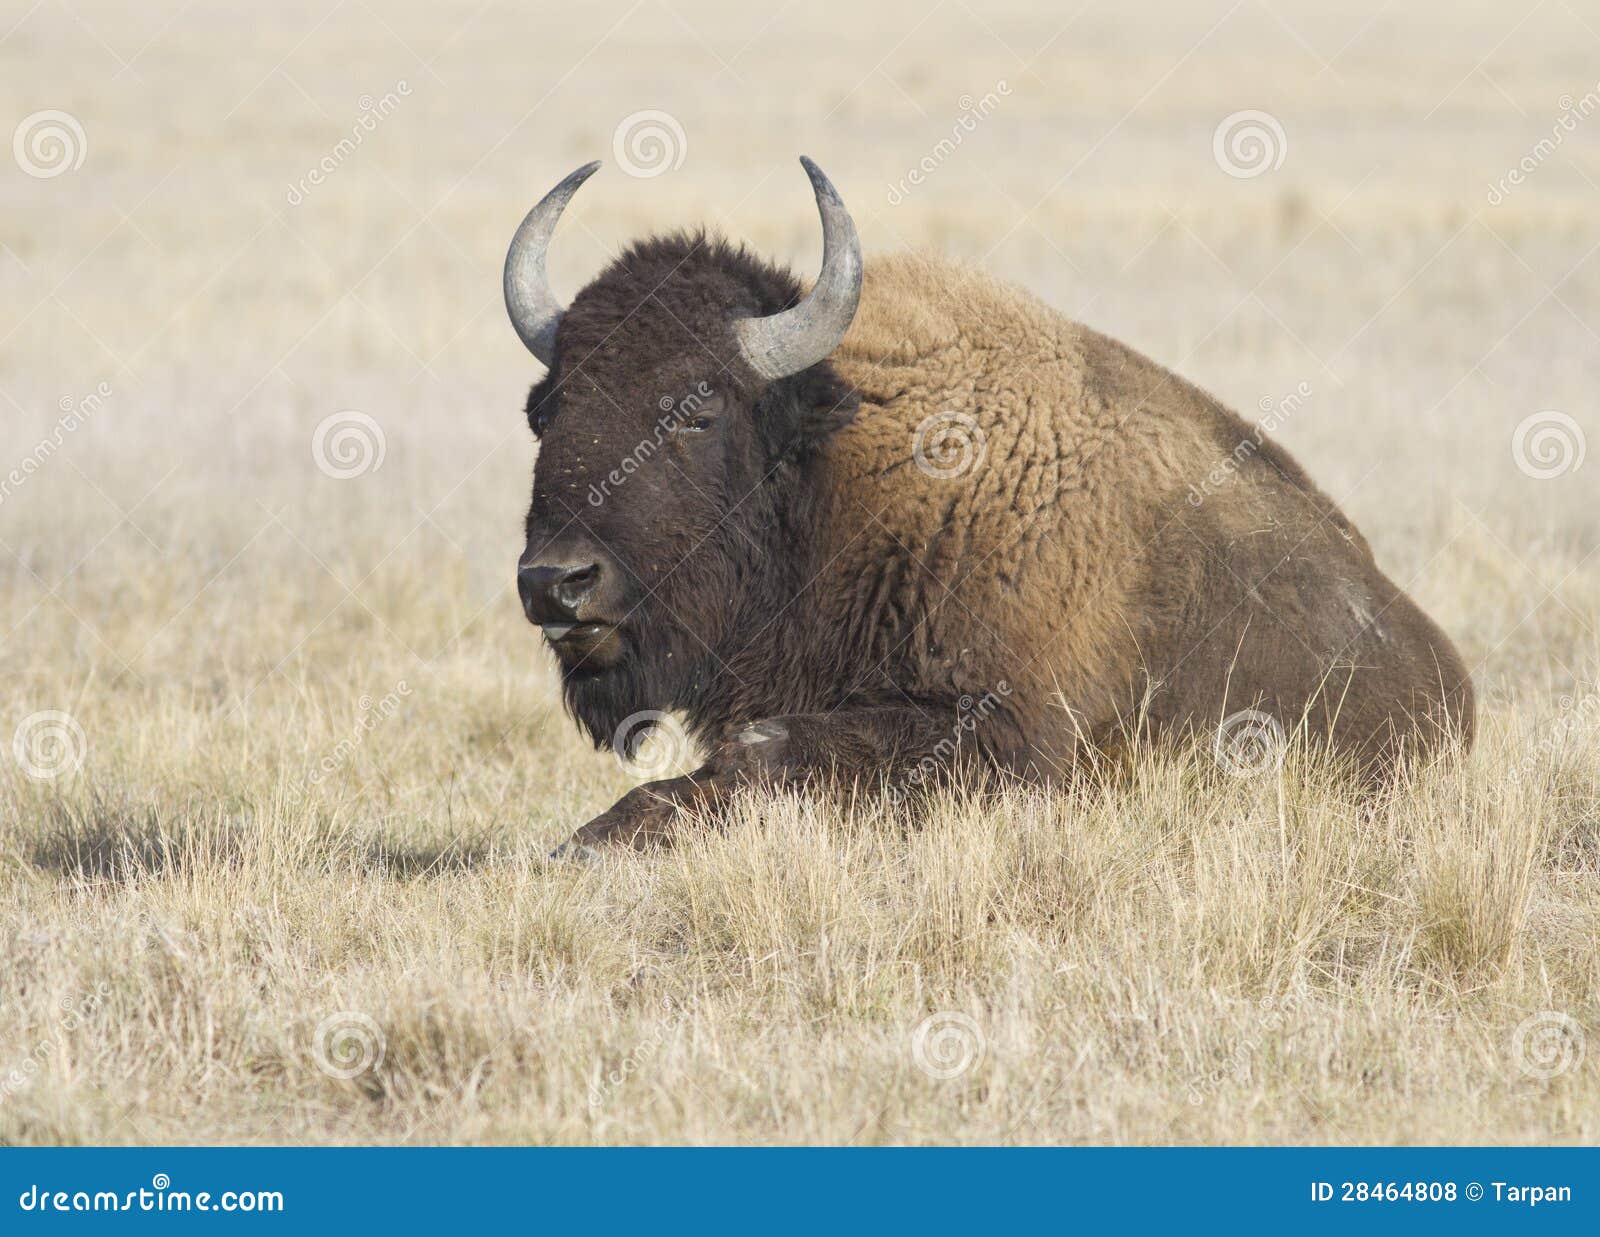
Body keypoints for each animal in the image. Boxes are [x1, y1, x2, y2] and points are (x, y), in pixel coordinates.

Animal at [506, 157, 1474, 852]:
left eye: (696, 410)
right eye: (543, 410)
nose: (556, 582)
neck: (833, 471)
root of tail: (1448, 680)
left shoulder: (1006, 736)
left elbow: (763, 751)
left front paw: (590, 842)